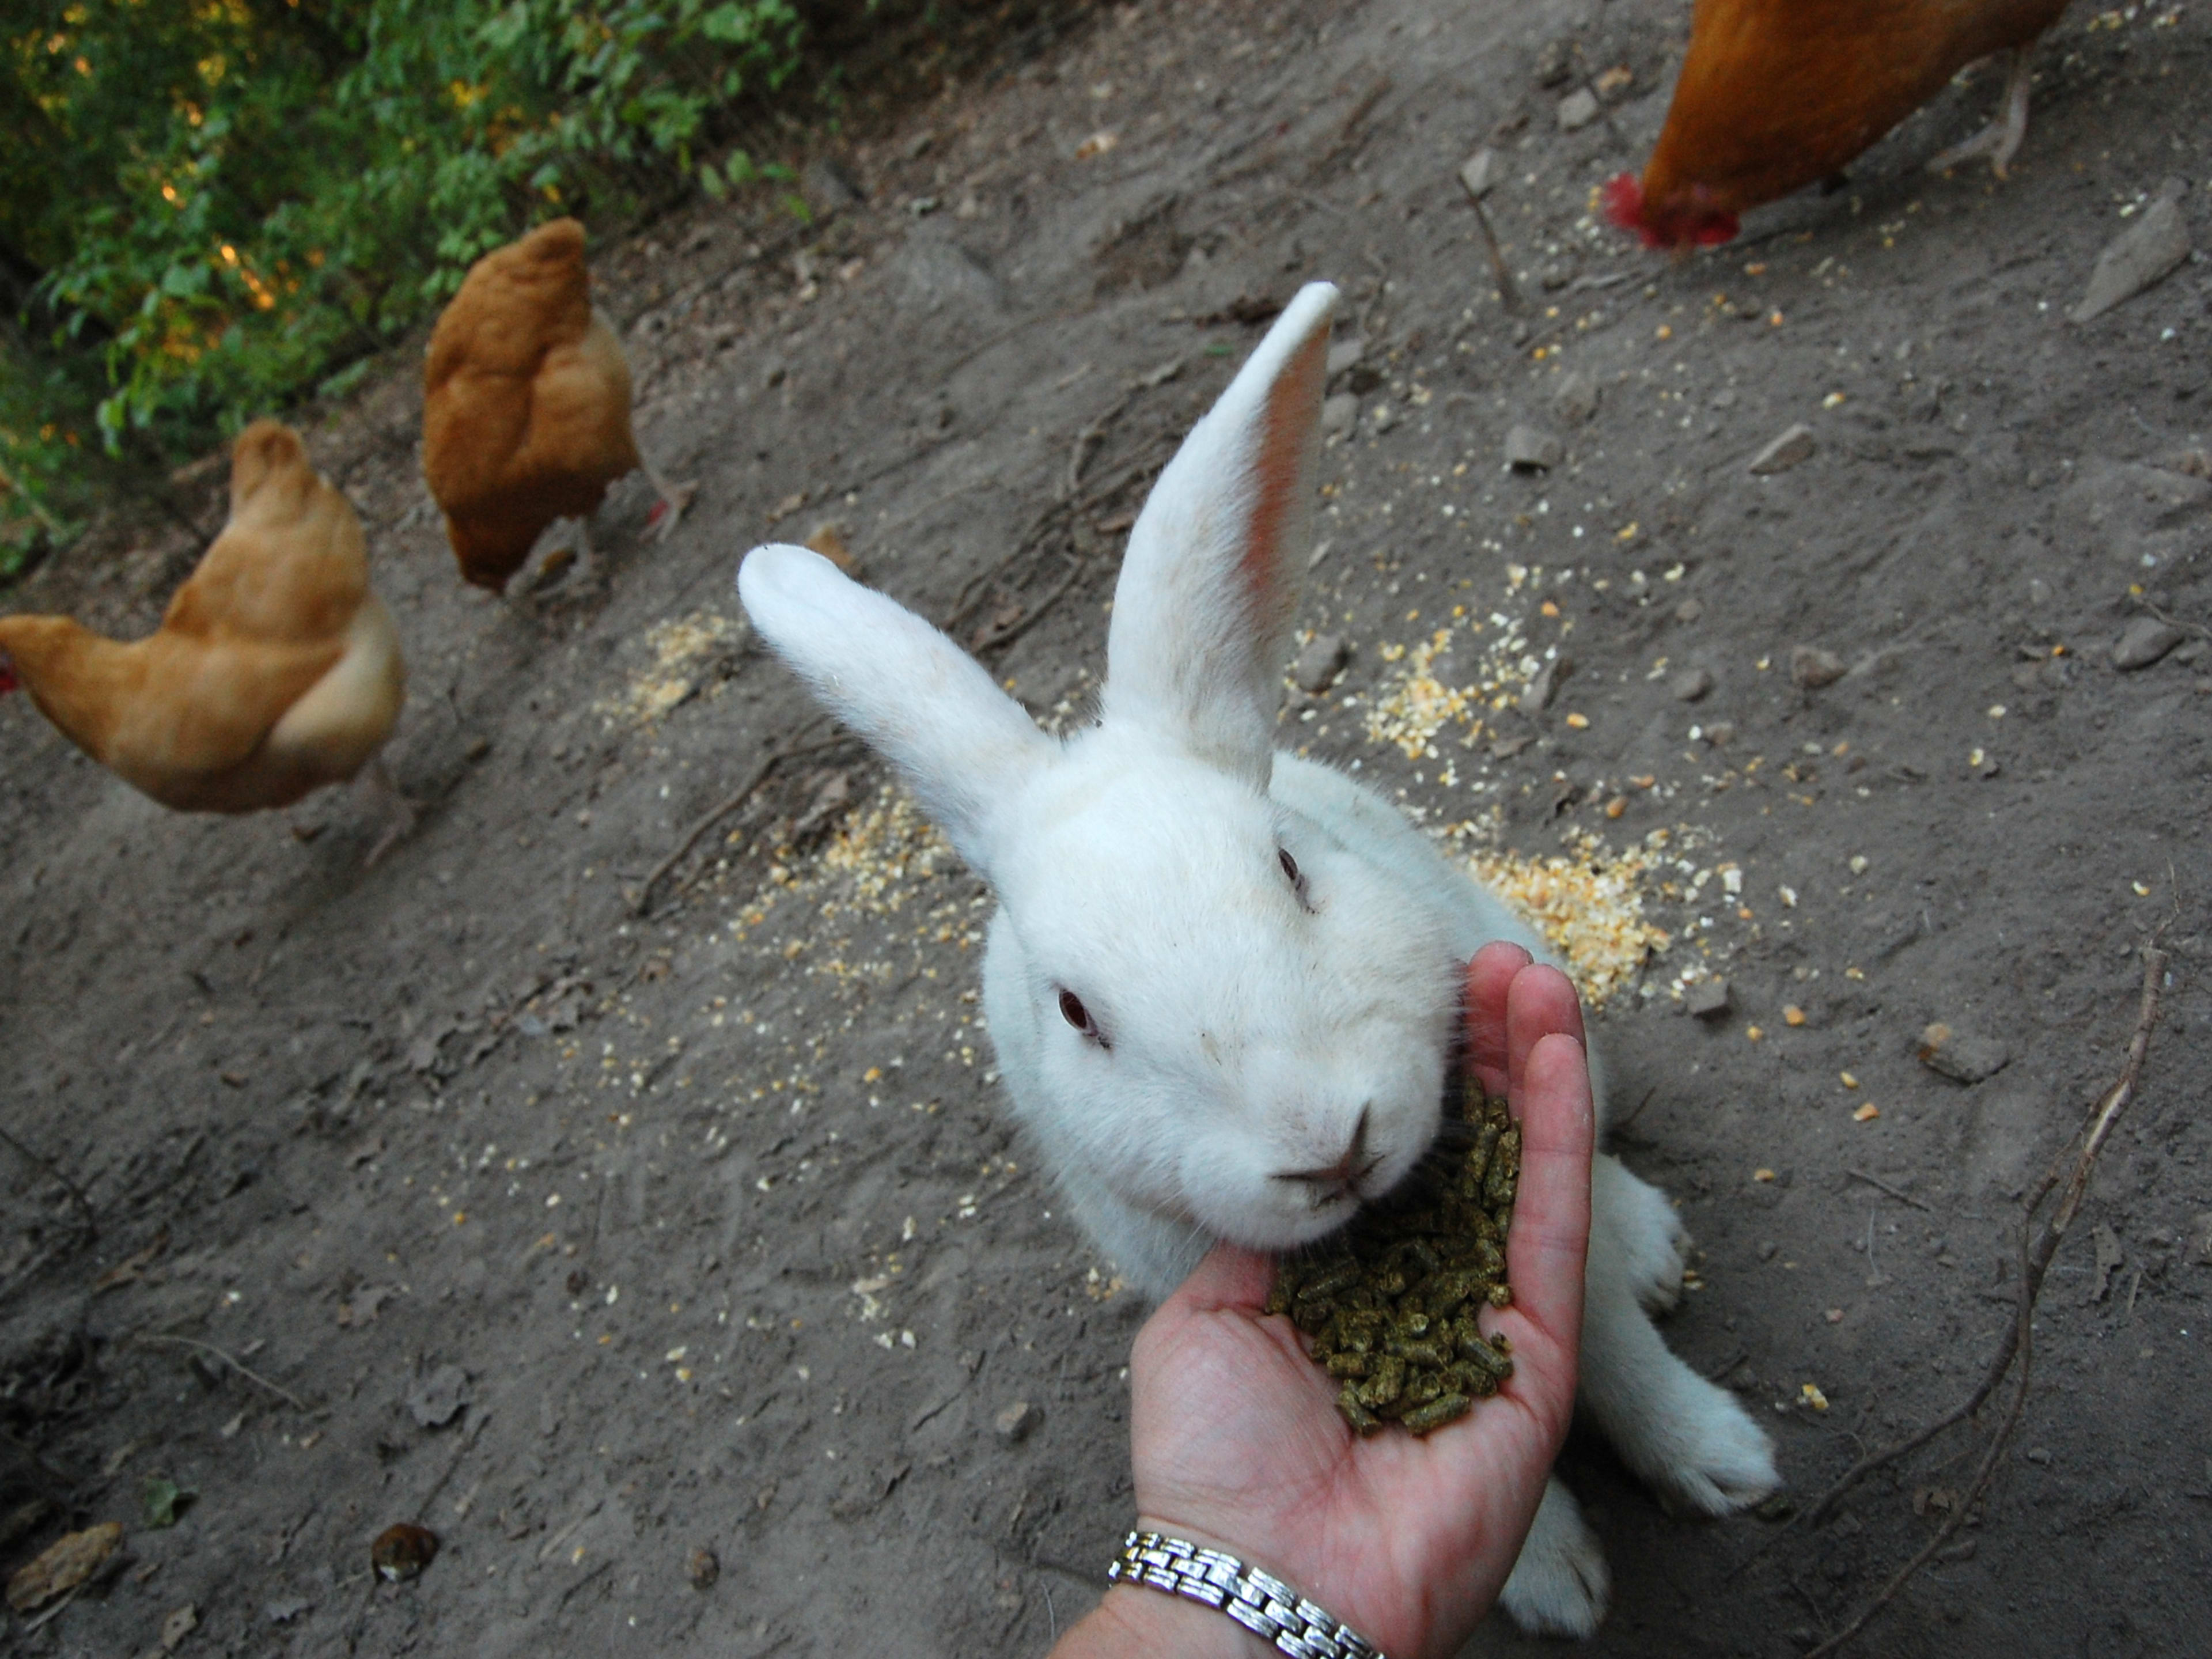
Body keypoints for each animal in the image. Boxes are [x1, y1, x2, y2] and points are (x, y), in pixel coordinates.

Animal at [735, 281, 1778, 1637]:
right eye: (1075, 1012)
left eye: (1290, 867)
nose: (1326, 1146)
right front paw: (1556, 1587)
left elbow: (1611, 1341)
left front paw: (1724, 1463)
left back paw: (1655, 1245)